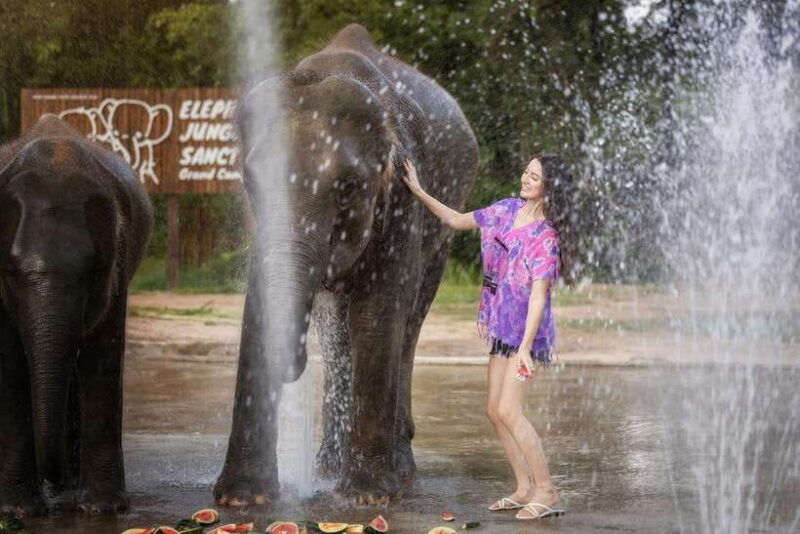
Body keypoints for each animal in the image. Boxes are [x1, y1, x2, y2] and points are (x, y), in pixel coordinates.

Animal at [0, 114, 153, 515]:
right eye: (10, 271)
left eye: (94, 271)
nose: (54, 478)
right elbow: (10, 363)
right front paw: (18, 512)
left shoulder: (117, 267)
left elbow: (103, 356)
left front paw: (104, 509)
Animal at [214, 23, 478, 505]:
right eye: (250, 179)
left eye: (350, 186)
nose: (290, 365)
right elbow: (262, 302)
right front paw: (241, 499)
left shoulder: (403, 201)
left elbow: (380, 311)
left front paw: (369, 497)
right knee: (335, 332)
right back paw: (327, 467)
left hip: (446, 224)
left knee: (409, 321)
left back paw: (399, 471)